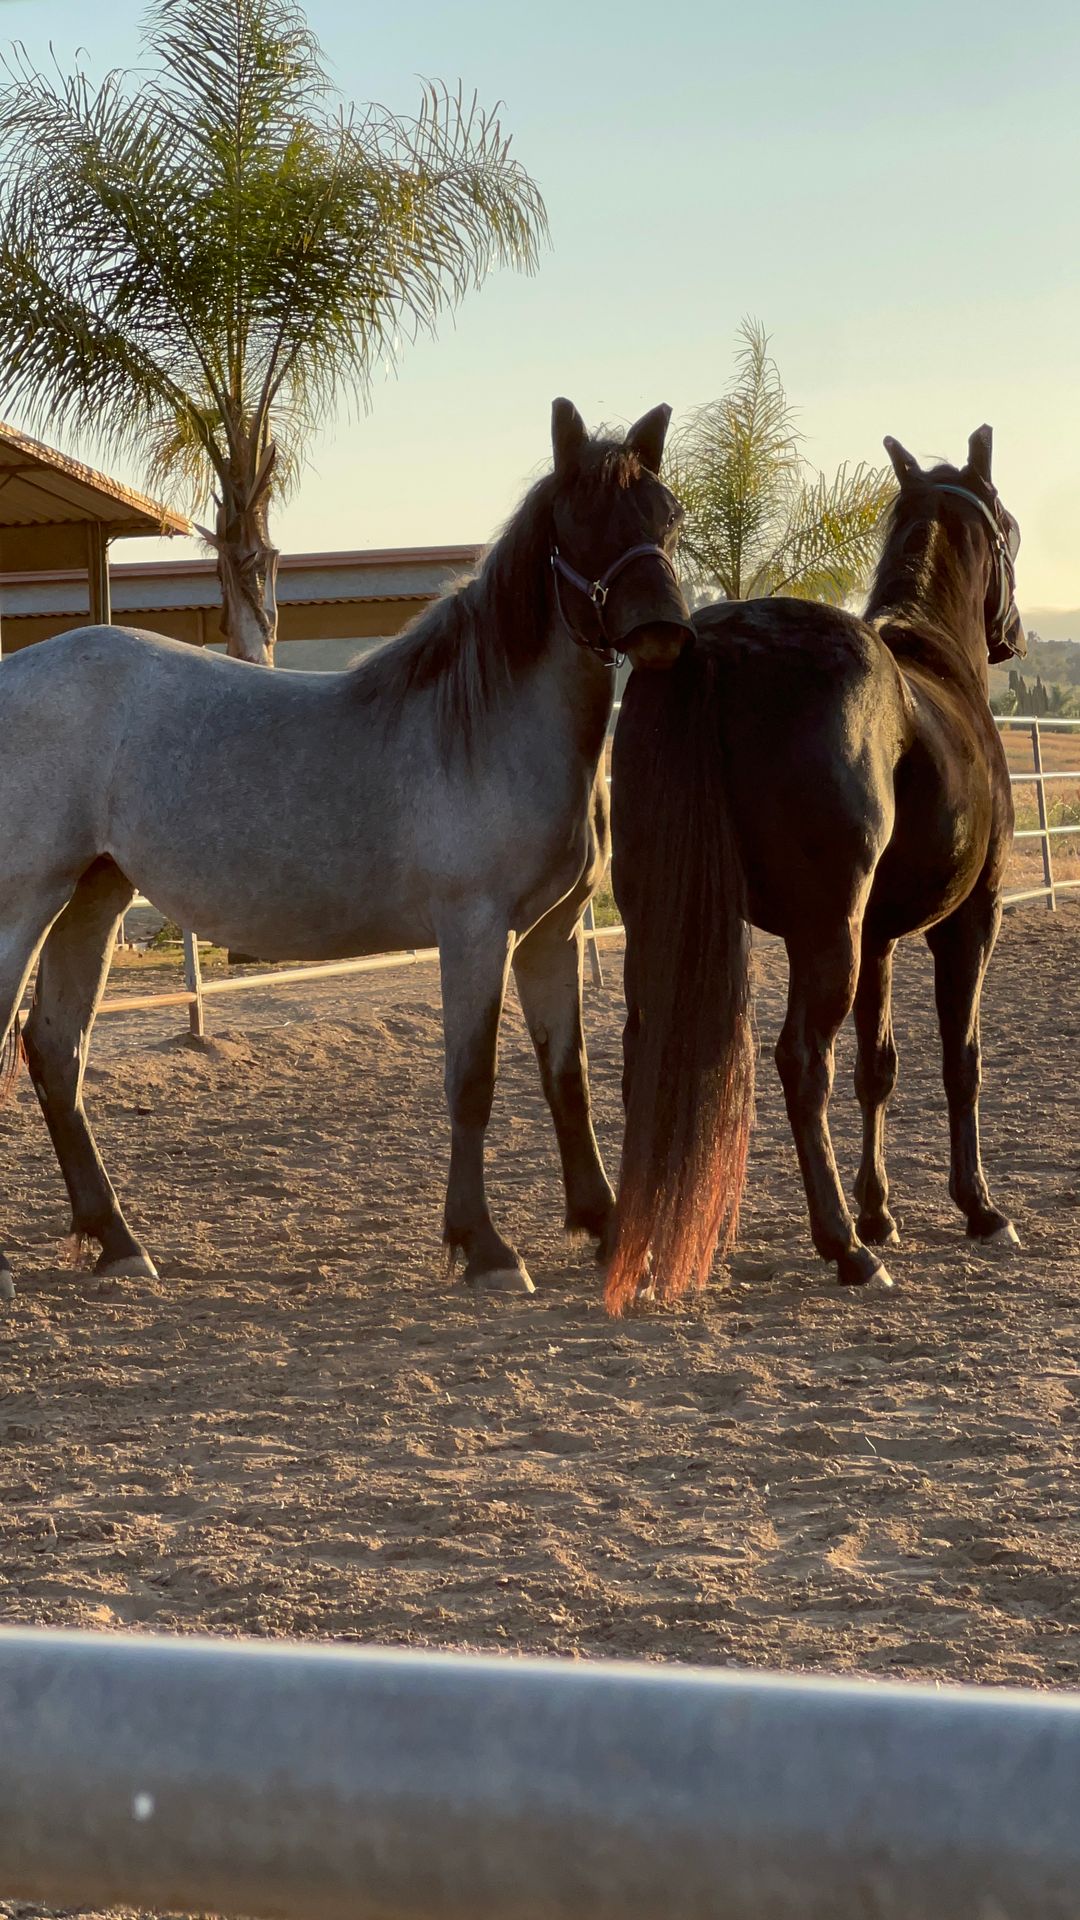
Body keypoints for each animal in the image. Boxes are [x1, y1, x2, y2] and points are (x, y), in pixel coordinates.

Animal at [0, 399, 692, 1300]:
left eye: (667, 516)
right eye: (580, 518)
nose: (664, 632)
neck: (486, 725)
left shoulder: (554, 934)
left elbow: (564, 1075)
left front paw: (605, 1228)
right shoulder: (475, 931)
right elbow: (473, 1080)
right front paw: (485, 1247)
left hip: (93, 897)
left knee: (58, 1051)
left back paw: (118, 1242)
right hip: (25, 904)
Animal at [605, 426, 1025, 1313]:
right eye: (1007, 525)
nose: (1014, 633)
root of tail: (720, 641)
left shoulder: (881, 937)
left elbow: (879, 1069)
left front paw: (882, 1211)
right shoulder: (968, 923)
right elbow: (959, 1060)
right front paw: (975, 1209)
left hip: (664, 923)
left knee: (643, 1052)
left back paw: (641, 1243)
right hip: (826, 935)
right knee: (803, 1063)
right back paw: (844, 1249)